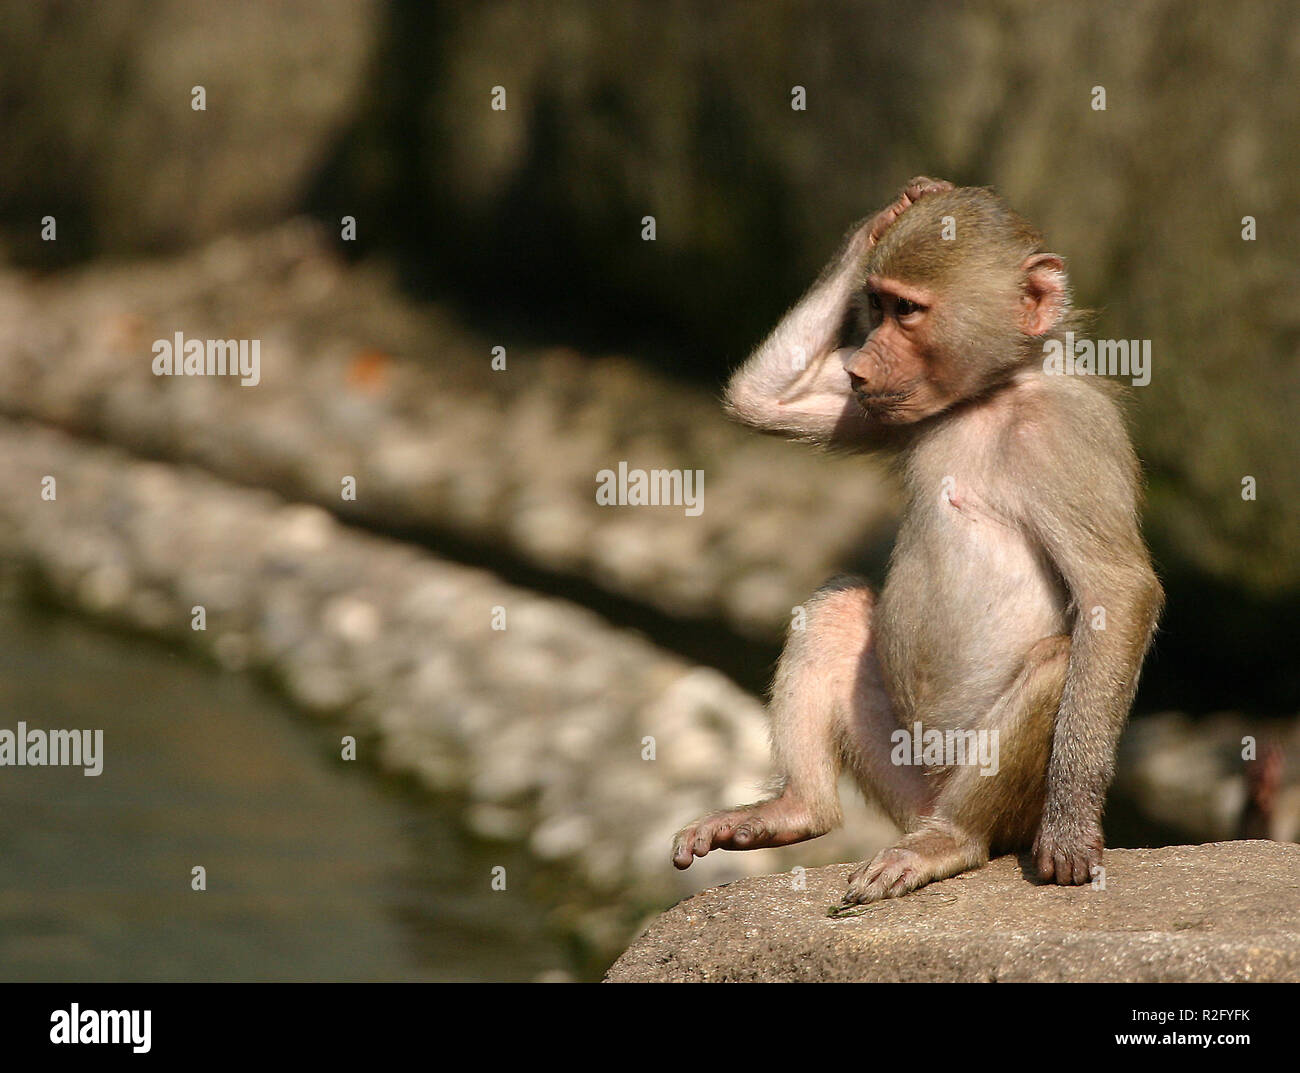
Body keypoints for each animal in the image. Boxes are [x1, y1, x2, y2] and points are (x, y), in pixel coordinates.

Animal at [672, 178, 1163, 904]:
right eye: (875, 304)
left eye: (907, 310)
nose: (859, 366)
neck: (996, 396)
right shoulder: (899, 408)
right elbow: (767, 404)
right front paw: (897, 209)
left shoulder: (1069, 434)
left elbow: (1119, 592)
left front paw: (1074, 825)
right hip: (902, 779)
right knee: (840, 604)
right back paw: (794, 810)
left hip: (998, 805)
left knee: (1053, 663)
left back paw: (949, 842)